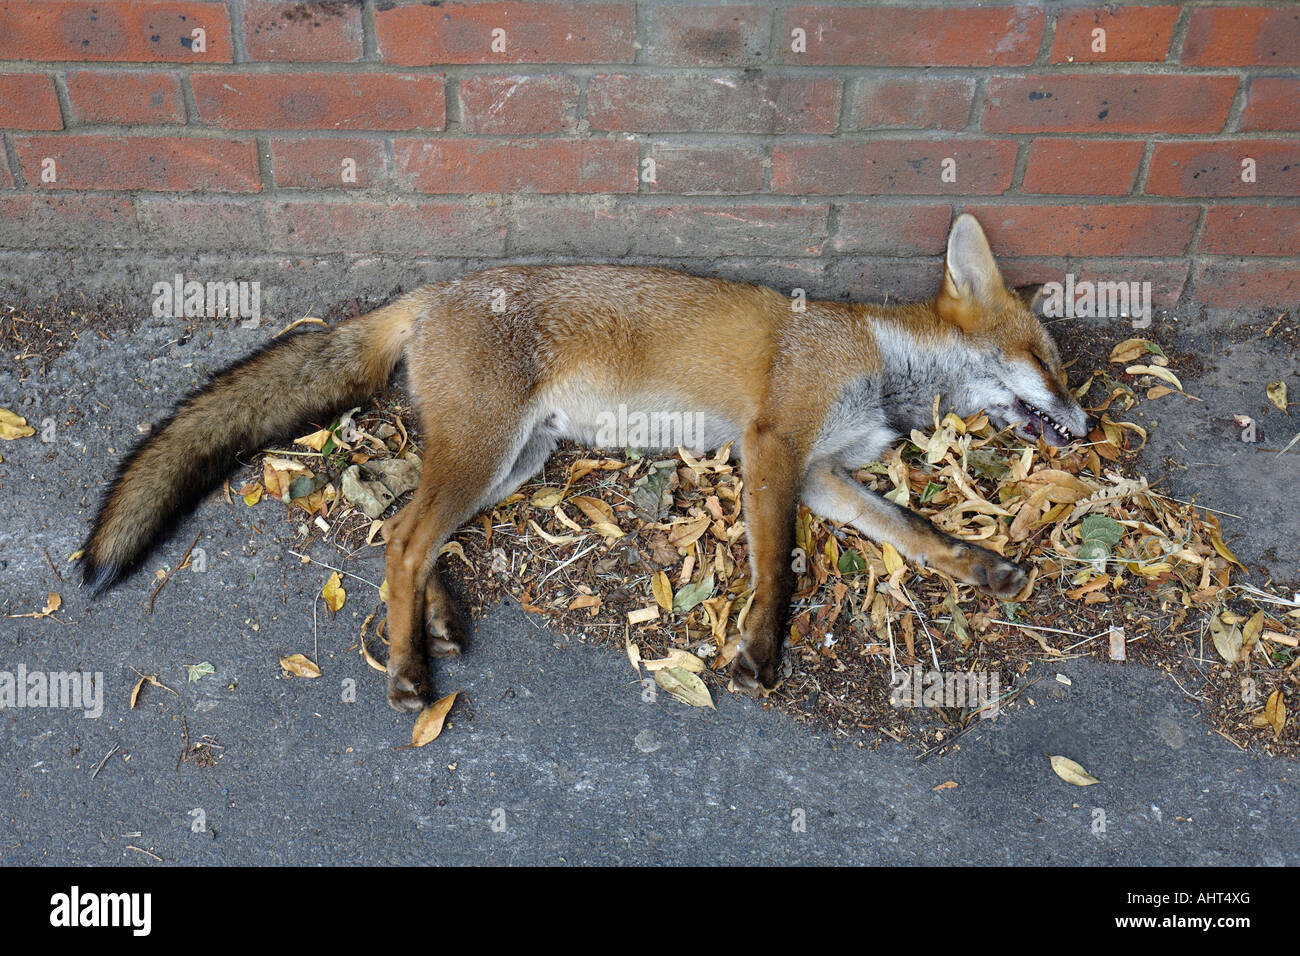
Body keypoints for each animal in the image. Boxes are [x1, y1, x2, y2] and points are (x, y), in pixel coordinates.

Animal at [83, 213, 1090, 712]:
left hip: (512, 461)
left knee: (402, 530)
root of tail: (434, 291)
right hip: (487, 451)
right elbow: (779, 567)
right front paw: (762, 651)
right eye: (1047, 360)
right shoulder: (774, 448)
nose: (1086, 426)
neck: (879, 365)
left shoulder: (821, 473)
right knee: (403, 539)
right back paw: (409, 670)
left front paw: (986, 568)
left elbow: (913, 532)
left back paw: (434, 621)